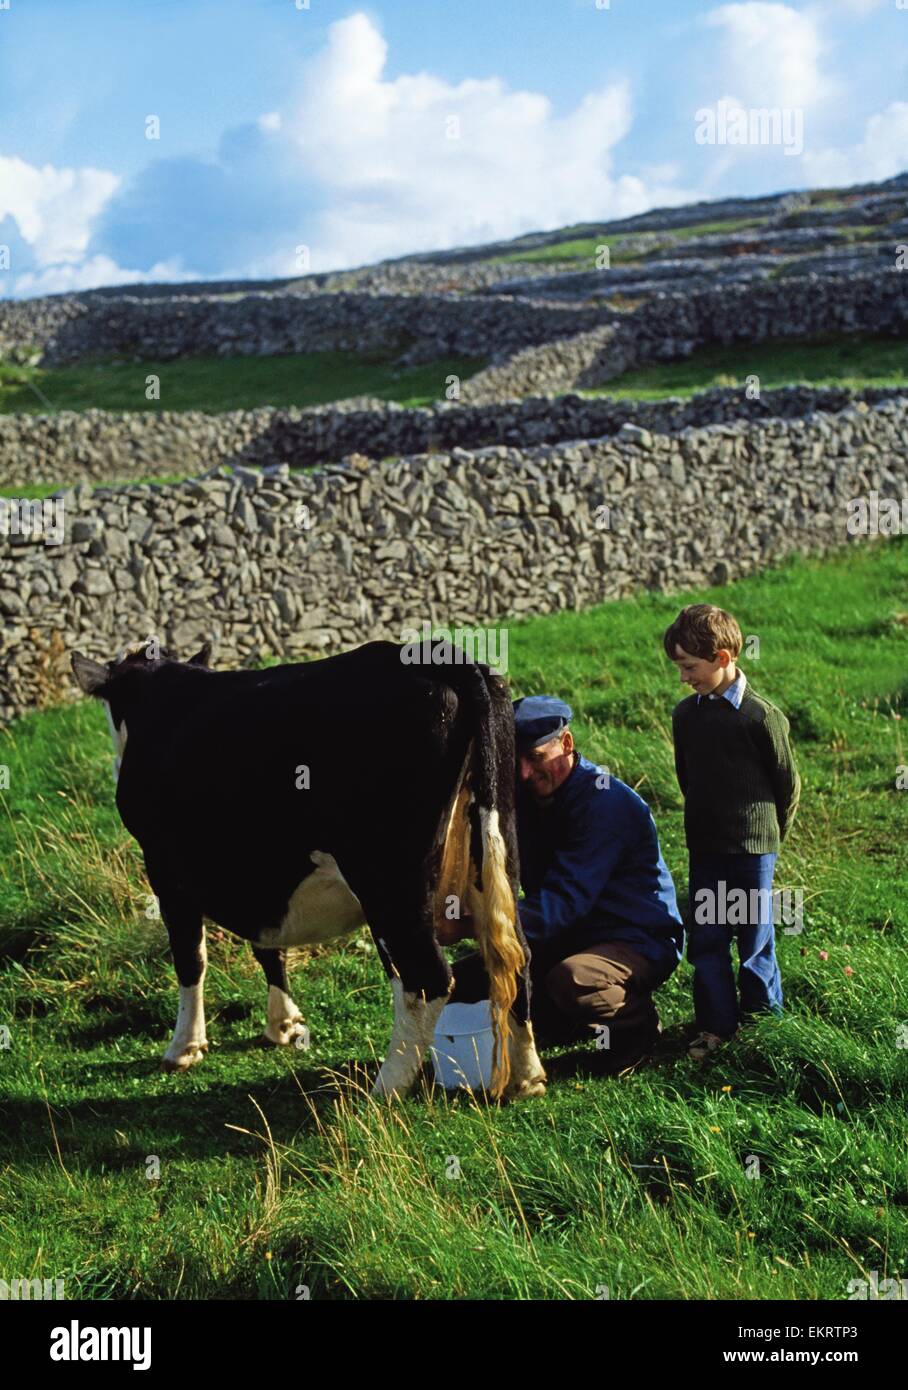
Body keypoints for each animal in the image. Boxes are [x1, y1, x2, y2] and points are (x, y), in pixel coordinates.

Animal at [70, 639, 547, 1103]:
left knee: (427, 977)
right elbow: (268, 948)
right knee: (515, 953)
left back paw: (386, 1090)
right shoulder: (258, 875)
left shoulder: (165, 871)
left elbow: (190, 959)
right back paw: (526, 1076)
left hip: (389, 881)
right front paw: (282, 1024)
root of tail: (436, 655)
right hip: (497, 846)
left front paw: (184, 1047)